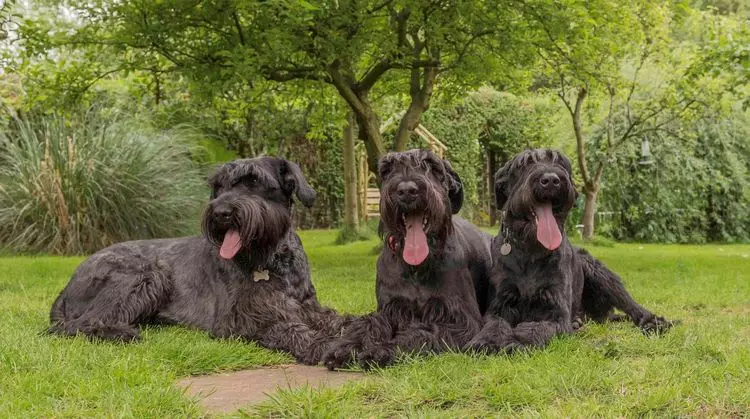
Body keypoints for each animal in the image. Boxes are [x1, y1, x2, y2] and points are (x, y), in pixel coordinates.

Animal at [48, 157, 348, 364]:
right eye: (219, 186)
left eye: (253, 181)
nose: (220, 213)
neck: (274, 260)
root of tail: (68, 285)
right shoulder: (241, 319)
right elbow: (289, 328)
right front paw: (327, 344)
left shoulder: (309, 307)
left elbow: (337, 319)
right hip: (145, 274)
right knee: (75, 325)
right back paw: (120, 333)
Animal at [324, 150, 494, 370]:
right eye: (387, 169)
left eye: (432, 166)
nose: (406, 190)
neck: (416, 268)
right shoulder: (390, 308)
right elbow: (369, 323)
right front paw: (346, 346)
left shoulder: (461, 321)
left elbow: (421, 332)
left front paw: (382, 349)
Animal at [468, 149, 672, 352]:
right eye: (524, 163)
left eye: (561, 162)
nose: (551, 179)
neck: (530, 251)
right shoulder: (500, 302)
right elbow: (494, 323)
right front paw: (486, 341)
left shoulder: (556, 311)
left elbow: (537, 328)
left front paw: (518, 341)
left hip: (600, 273)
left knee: (632, 306)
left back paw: (653, 322)